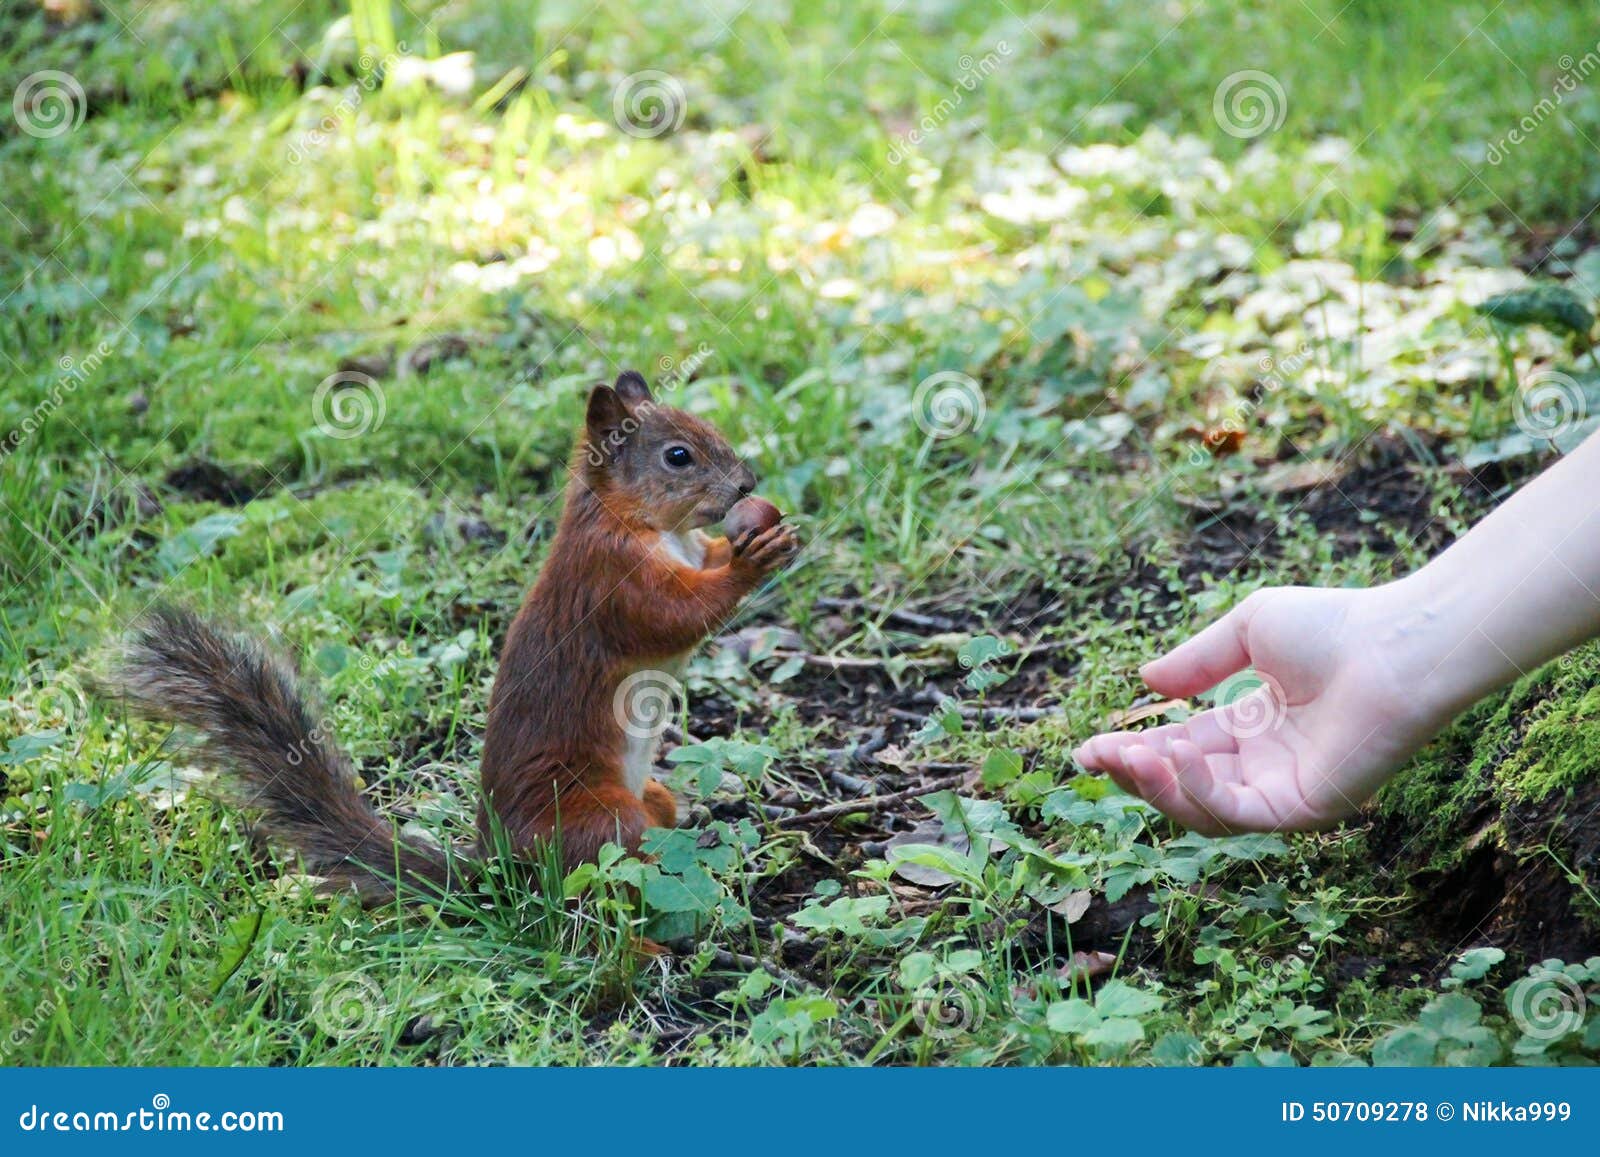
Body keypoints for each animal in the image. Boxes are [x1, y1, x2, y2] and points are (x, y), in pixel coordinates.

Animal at [108, 370, 800, 903]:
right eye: (677, 456)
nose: (746, 484)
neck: (644, 524)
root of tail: (496, 866)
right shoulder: (612, 580)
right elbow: (678, 614)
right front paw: (753, 561)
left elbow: (706, 564)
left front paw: (763, 538)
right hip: (599, 820)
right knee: (598, 885)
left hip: (647, 801)